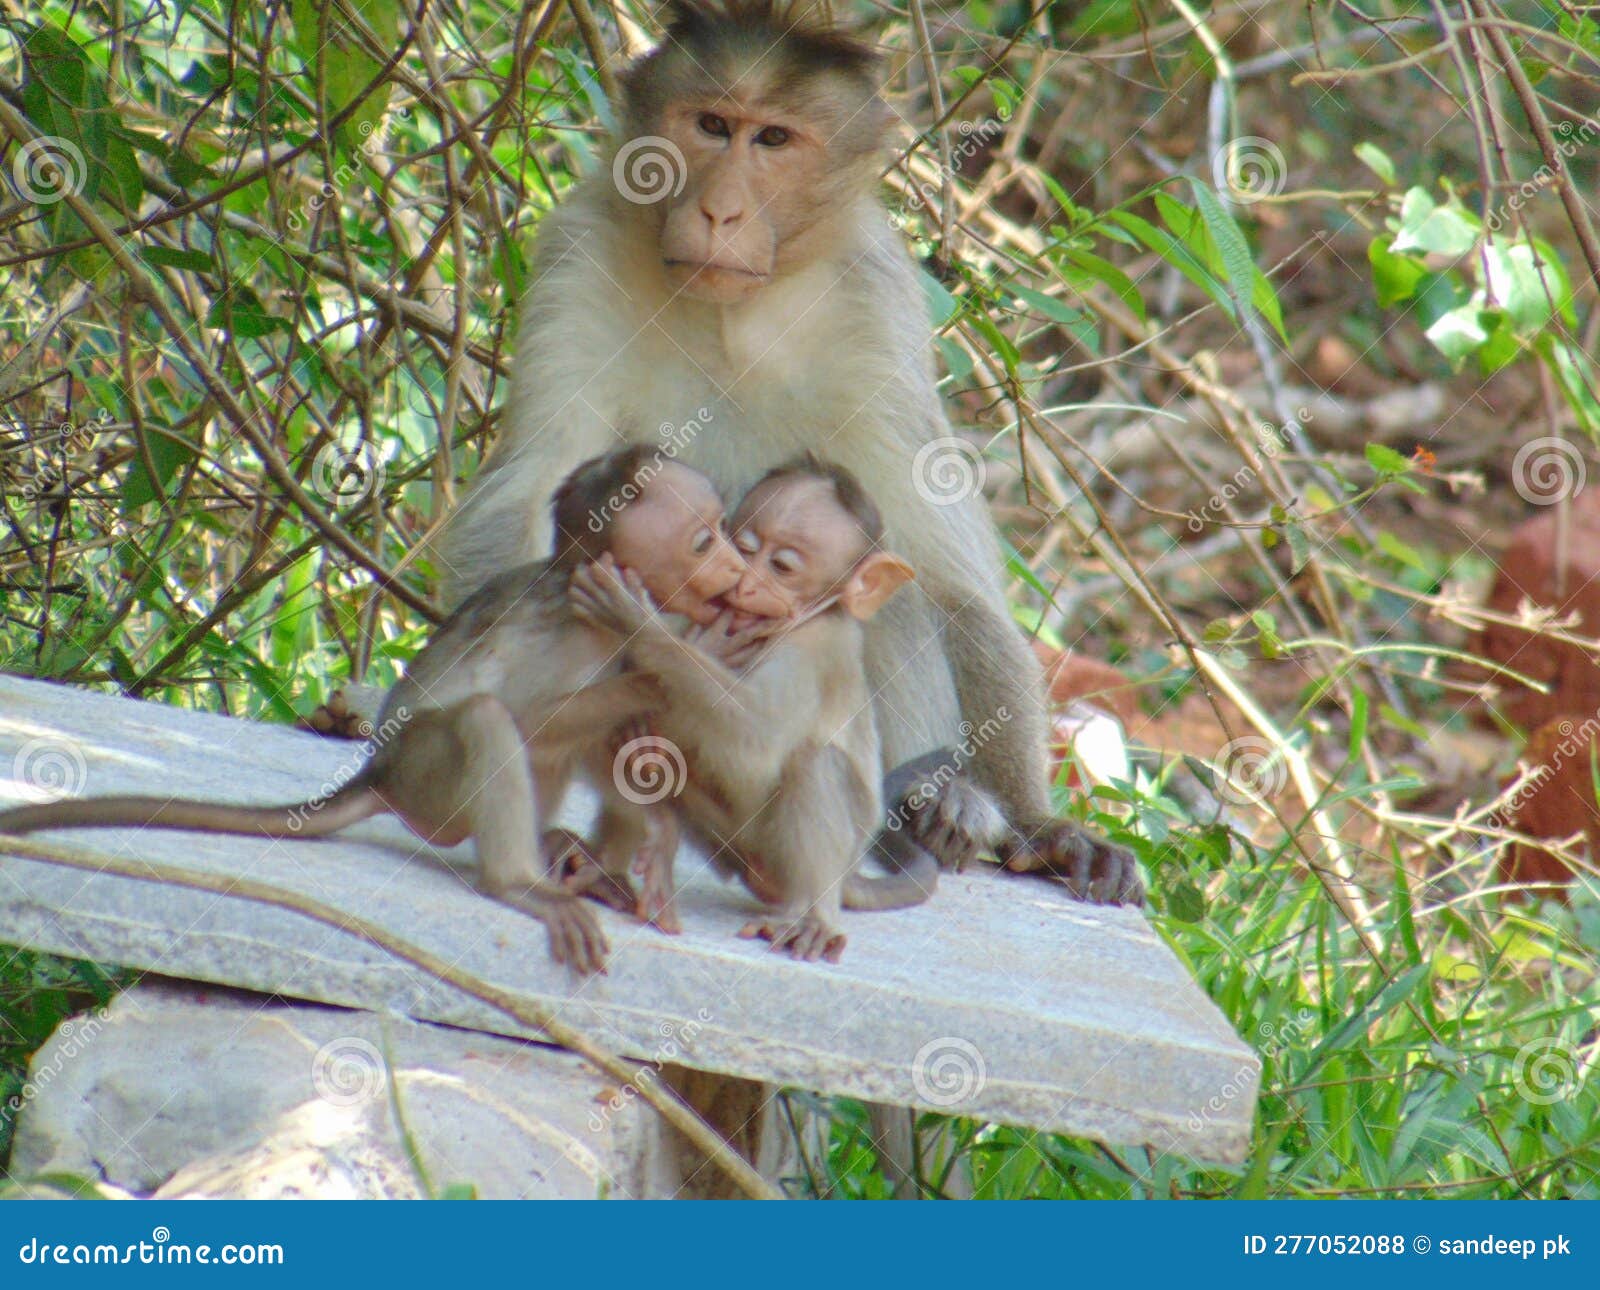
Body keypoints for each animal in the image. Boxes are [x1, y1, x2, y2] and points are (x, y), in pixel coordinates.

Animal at [0, 447, 773, 973]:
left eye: (722, 531)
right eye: (704, 540)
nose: (733, 568)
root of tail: (378, 773)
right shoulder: (571, 633)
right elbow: (533, 716)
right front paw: (659, 676)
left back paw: (561, 853)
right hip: (428, 779)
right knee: (486, 722)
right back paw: (519, 882)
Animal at [436, 1, 1142, 907]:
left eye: (772, 140)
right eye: (711, 126)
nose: (721, 212)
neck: (736, 307)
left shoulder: (877, 301)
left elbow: (943, 570)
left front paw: (1038, 825)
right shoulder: (578, 252)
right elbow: (528, 492)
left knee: (890, 593)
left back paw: (940, 806)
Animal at [569, 457, 945, 962]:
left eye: (781, 566)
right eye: (745, 548)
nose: (745, 585)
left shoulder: (815, 646)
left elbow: (757, 733)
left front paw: (636, 621)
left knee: (815, 766)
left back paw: (812, 915)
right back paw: (609, 861)